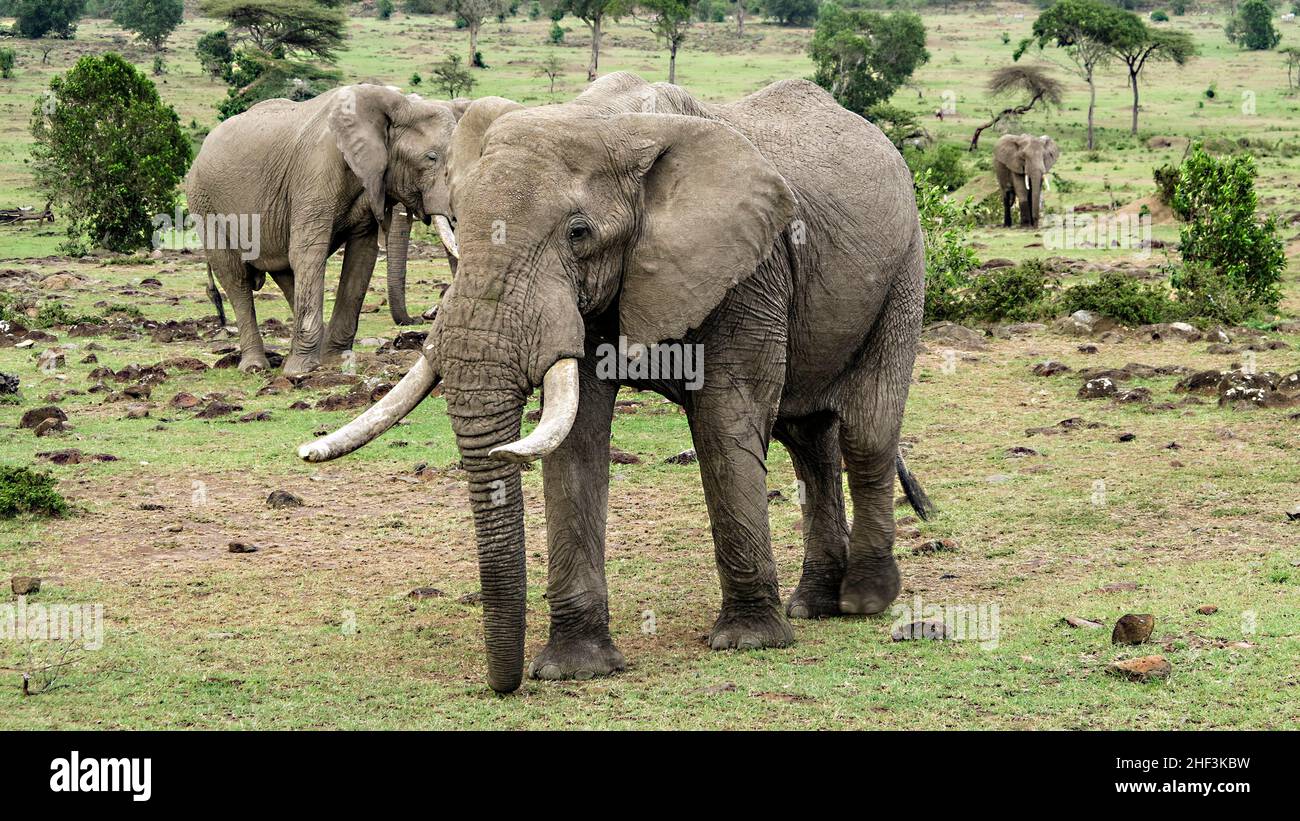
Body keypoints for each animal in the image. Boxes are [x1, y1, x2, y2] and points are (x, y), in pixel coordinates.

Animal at [187, 85, 467, 376]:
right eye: (431, 157)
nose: (418, 320)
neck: (396, 103)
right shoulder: (316, 170)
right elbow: (308, 252)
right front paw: (300, 371)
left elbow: (361, 257)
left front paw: (333, 361)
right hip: (204, 202)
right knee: (235, 278)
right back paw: (255, 367)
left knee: (285, 273)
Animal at [298, 73, 932, 693]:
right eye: (458, 220)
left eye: (579, 233)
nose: (505, 686)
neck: (610, 121)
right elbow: (576, 437)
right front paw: (575, 667)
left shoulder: (750, 268)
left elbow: (727, 421)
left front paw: (749, 641)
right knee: (807, 439)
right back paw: (814, 605)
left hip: (904, 269)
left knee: (866, 433)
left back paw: (863, 601)